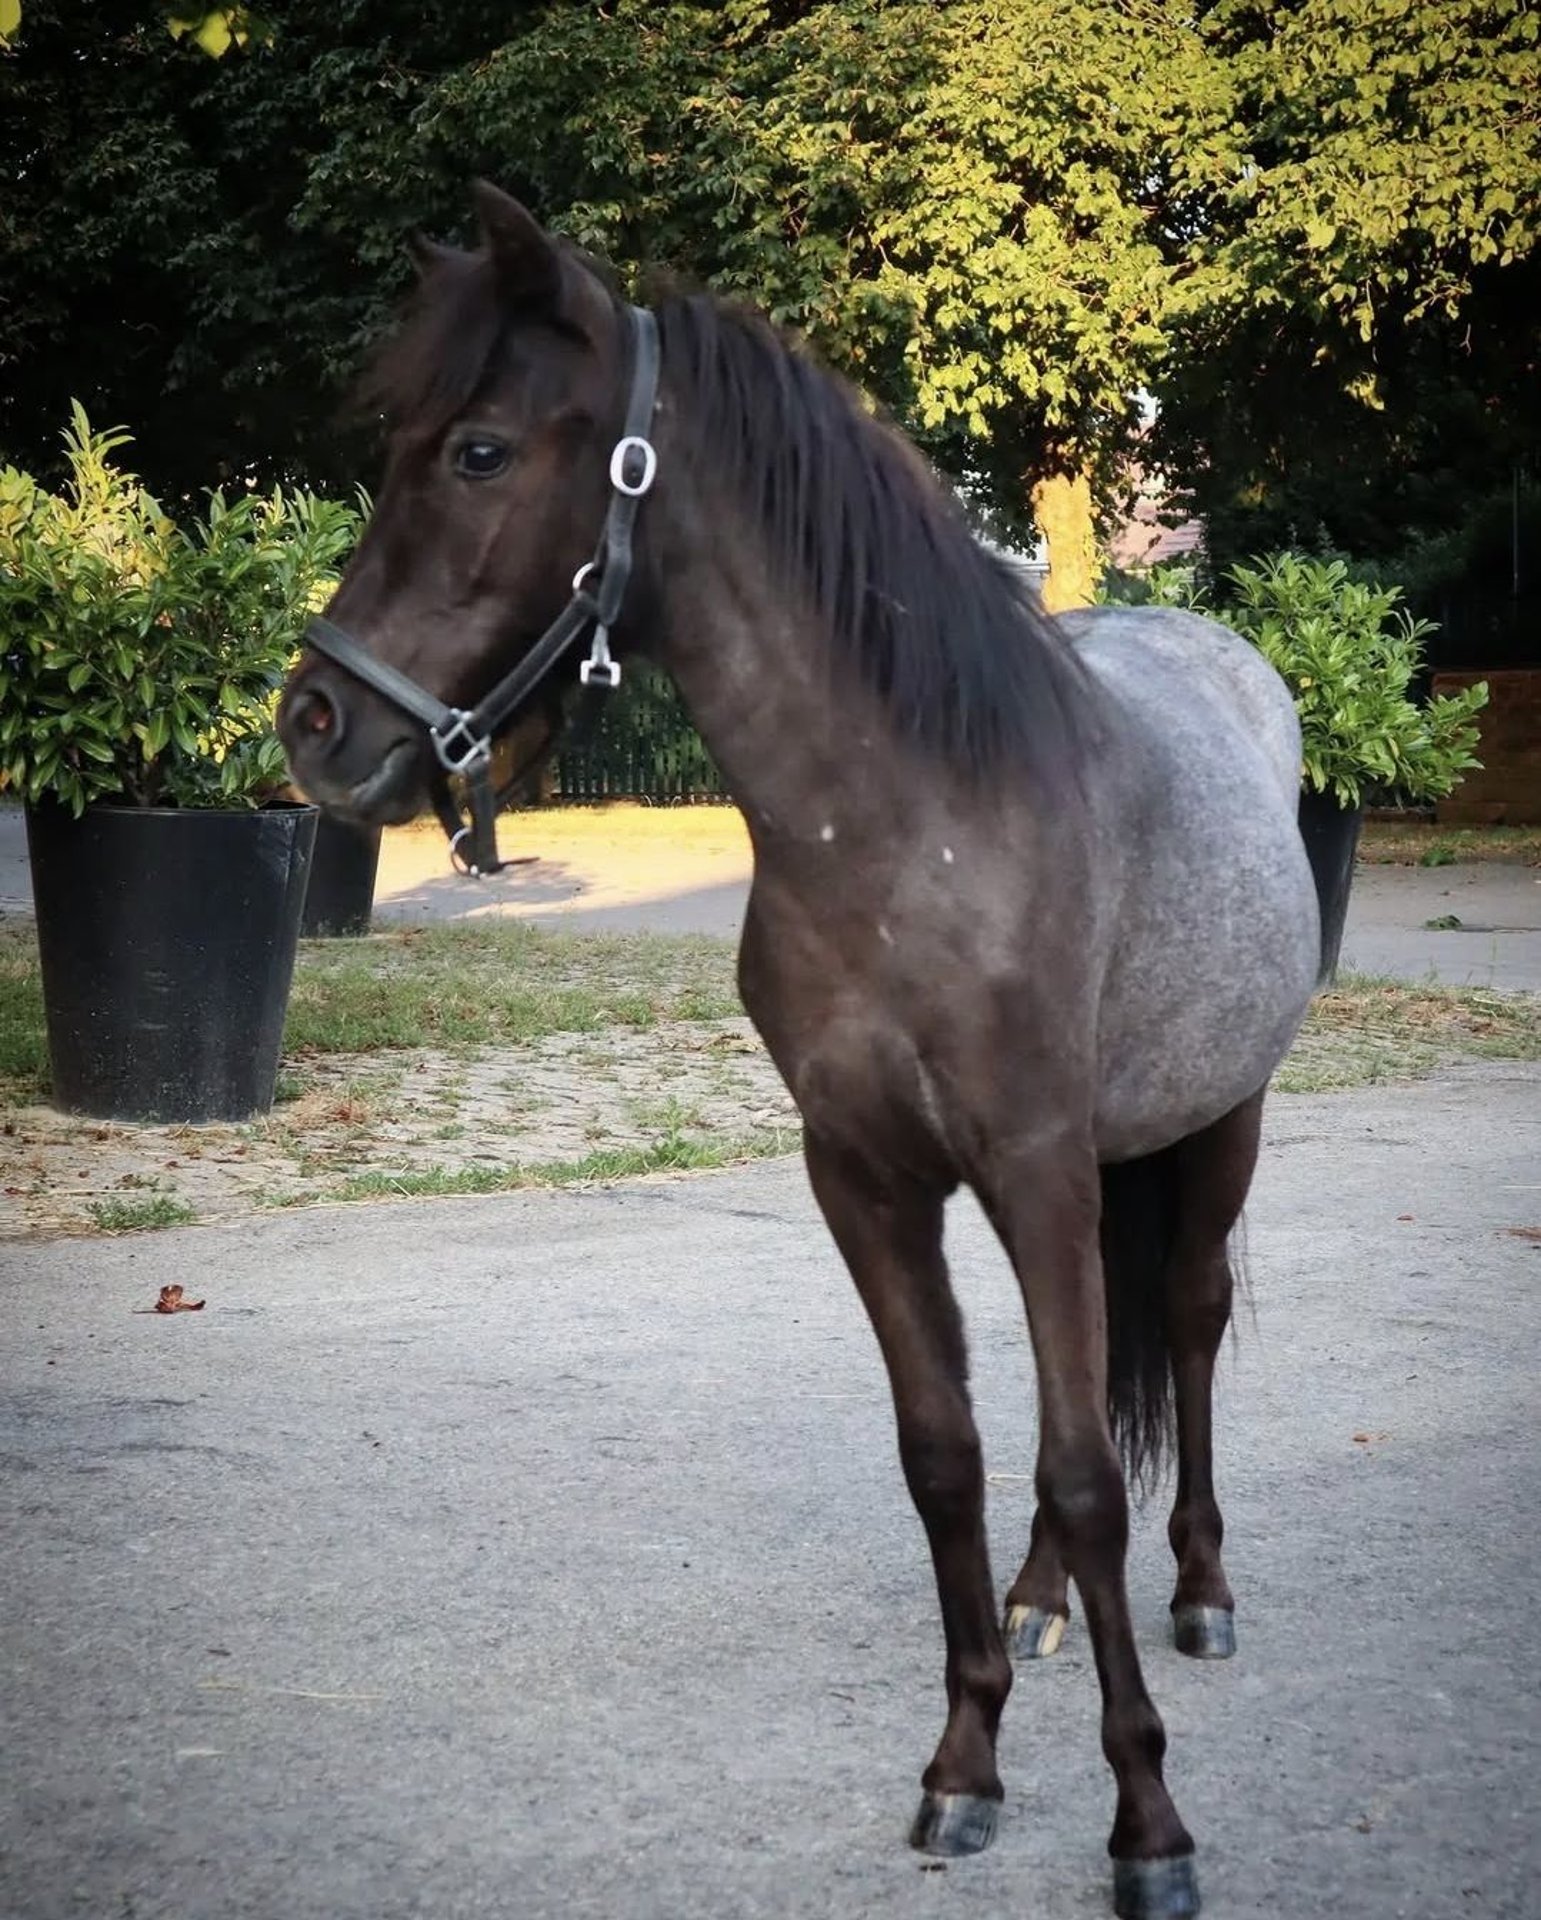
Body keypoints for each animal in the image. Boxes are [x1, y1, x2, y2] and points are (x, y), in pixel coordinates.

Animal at [277, 183, 1319, 1920]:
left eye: (478, 450)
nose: (313, 728)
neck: (914, 823)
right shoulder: (866, 1178)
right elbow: (950, 1457)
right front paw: (965, 1770)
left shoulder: (1036, 1167)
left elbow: (1088, 1474)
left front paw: (1147, 1828)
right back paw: (1040, 1607)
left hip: (1217, 1118)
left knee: (1182, 1325)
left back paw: (1208, 1592)